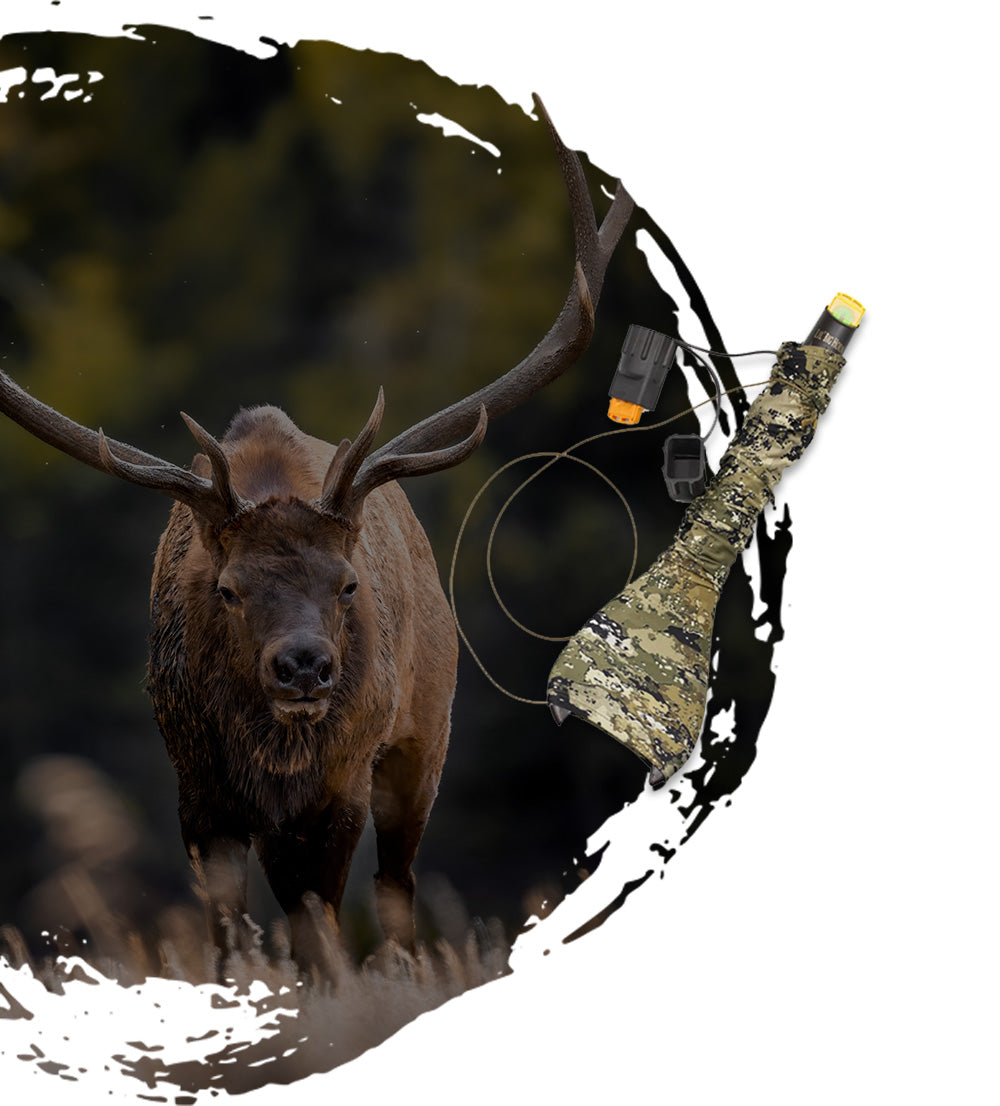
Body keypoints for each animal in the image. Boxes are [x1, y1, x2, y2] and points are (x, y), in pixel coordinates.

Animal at [0, 97, 633, 975]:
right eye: (228, 589)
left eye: (347, 582)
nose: (304, 665)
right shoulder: (197, 789)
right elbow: (229, 942)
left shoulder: (341, 787)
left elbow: (321, 940)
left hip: (423, 741)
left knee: (396, 893)